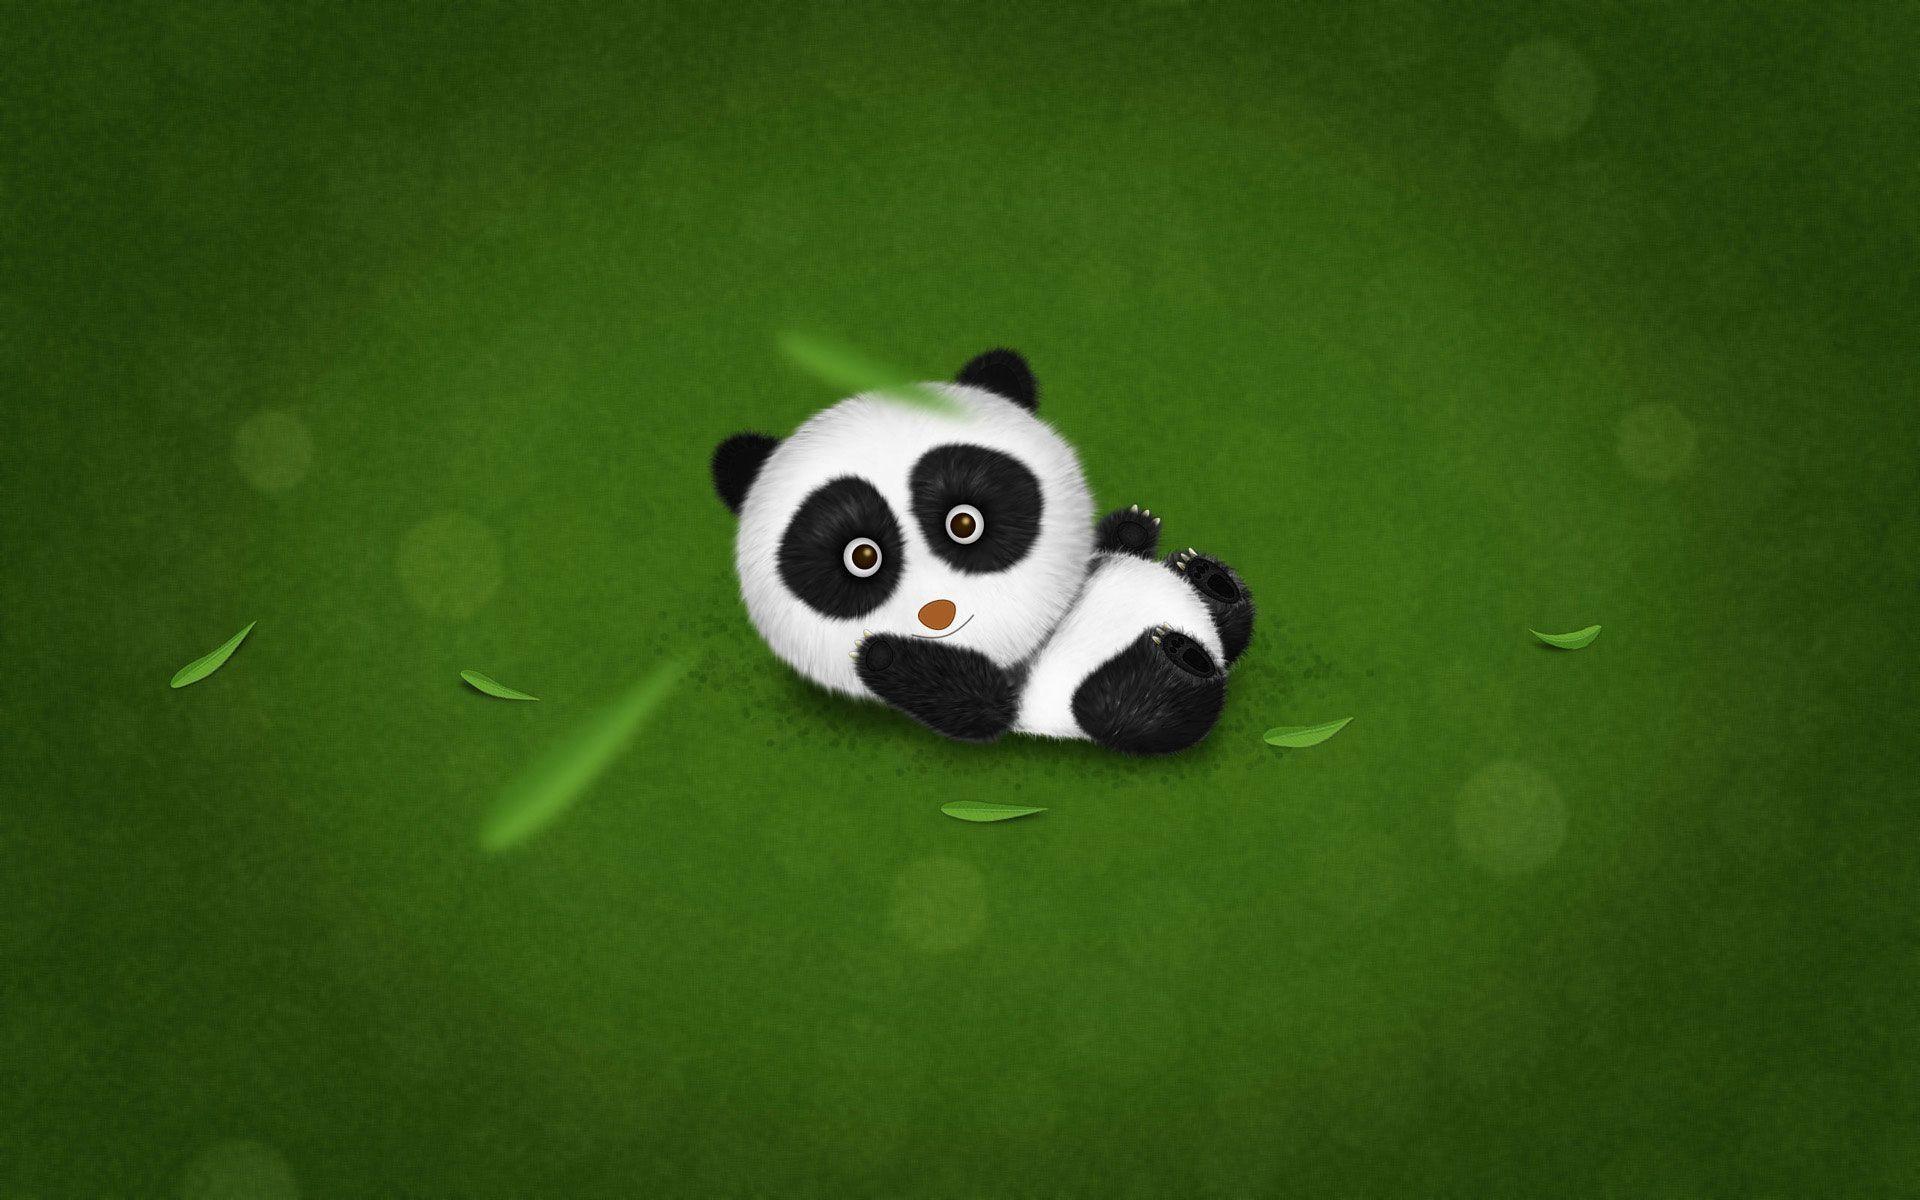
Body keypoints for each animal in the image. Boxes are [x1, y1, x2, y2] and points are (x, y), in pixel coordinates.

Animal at [710, 349, 1254, 755]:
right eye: (861, 557)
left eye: (964, 523)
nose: (937, 613)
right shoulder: (1006, 696)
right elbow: (977, 709)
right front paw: (882, 652)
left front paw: (1134, 526)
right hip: (1096, 697)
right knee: (1136, 705)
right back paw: (1174, 651)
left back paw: (1202, 578)